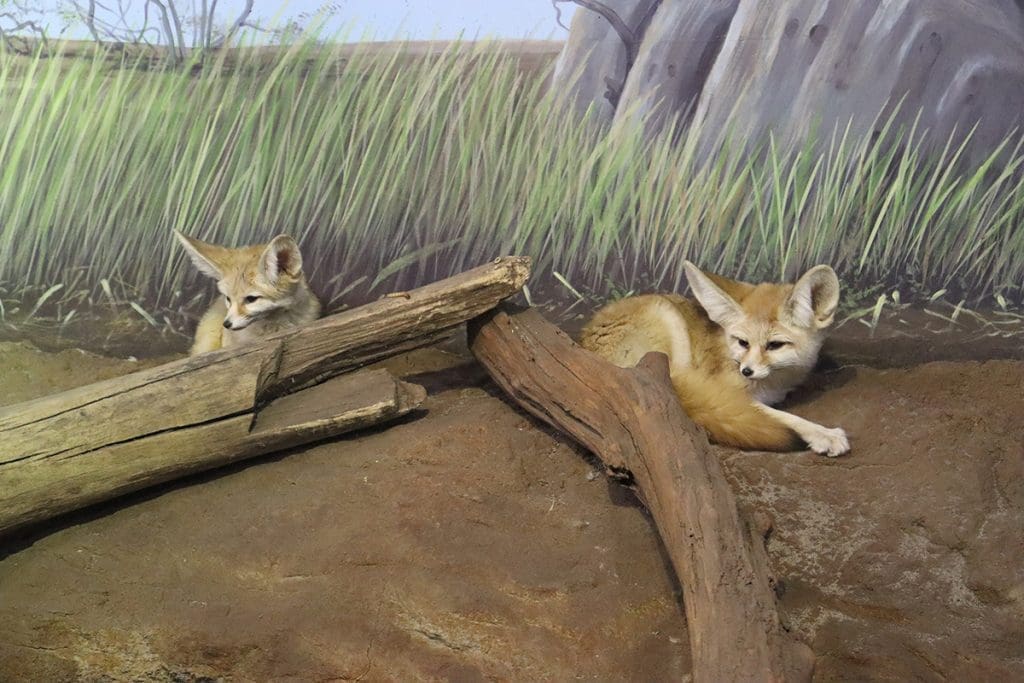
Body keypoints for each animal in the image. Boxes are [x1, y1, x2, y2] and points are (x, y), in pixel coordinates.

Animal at [580, 261, 849, 457]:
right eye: (743, 342)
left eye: (774, 345)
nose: (746, 371)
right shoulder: (730, 390)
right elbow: (782, 417)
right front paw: (823, 433)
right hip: (667, 318)